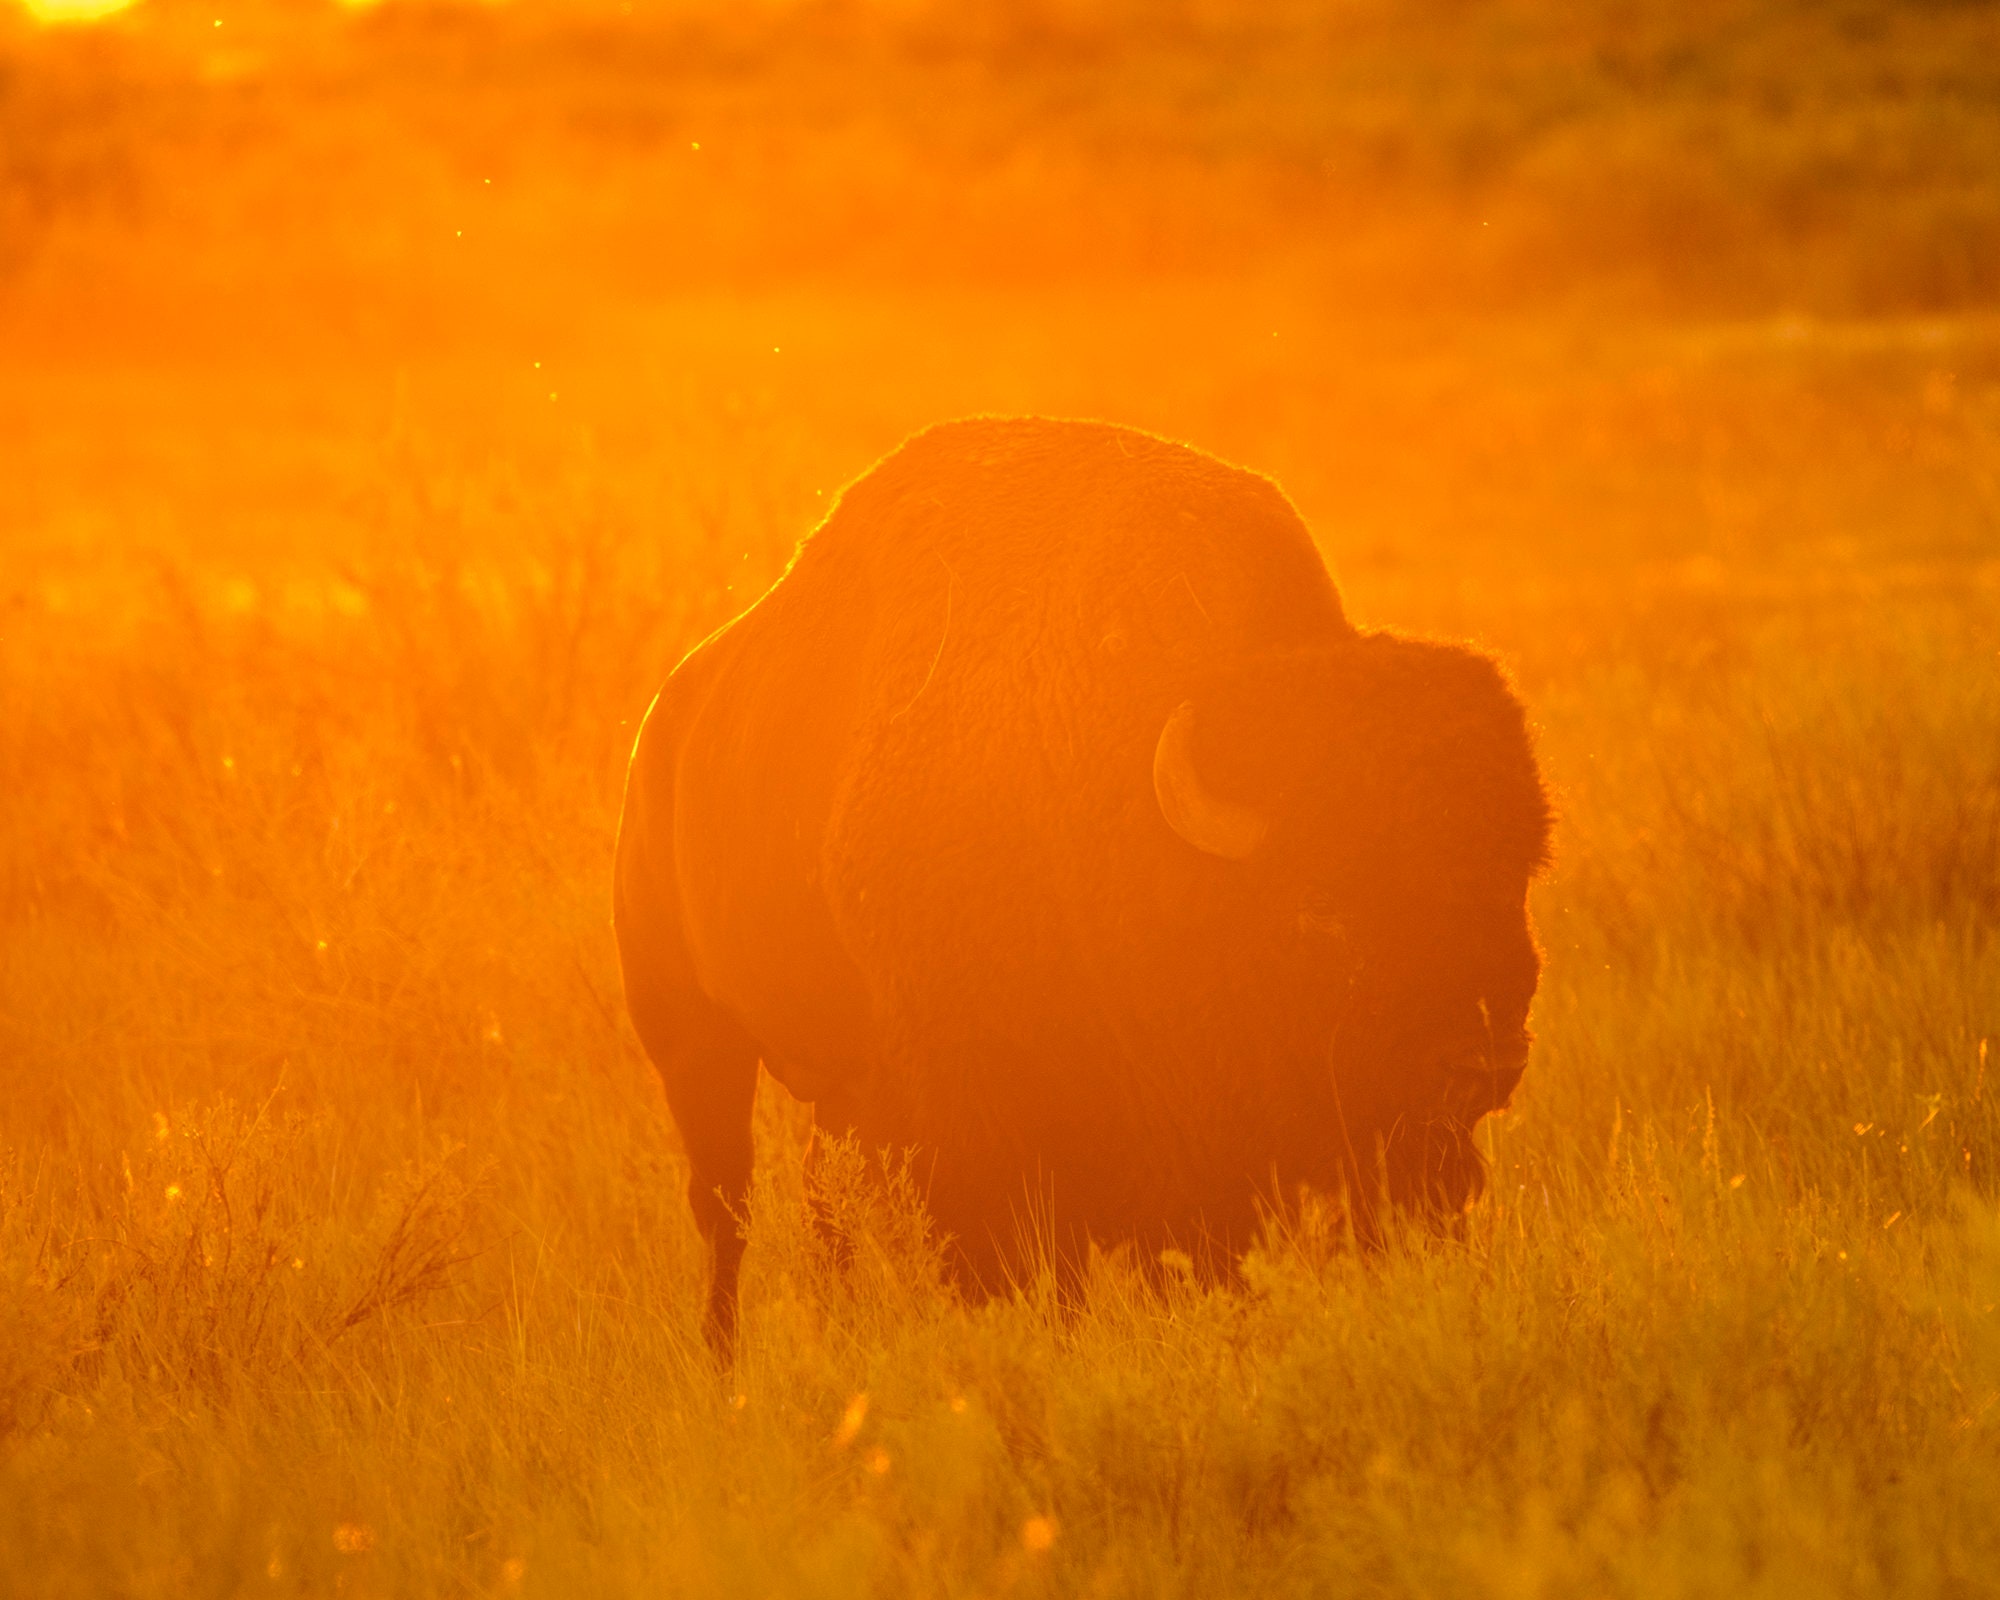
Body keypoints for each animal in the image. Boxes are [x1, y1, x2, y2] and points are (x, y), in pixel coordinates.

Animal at [614, 416, 1550, 1340]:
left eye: (1516, 875)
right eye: (1323, 912)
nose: (1482, 1062)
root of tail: (663, 725)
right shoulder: (981, 1127)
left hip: (832, 1090)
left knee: (821, 1206)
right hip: (695, 1048)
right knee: (726, 1211)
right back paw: (726, 1355)